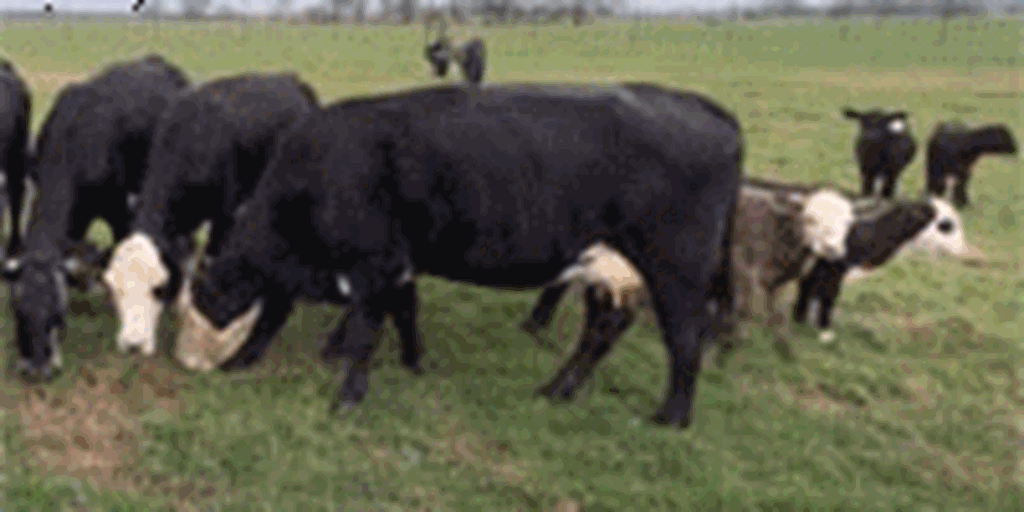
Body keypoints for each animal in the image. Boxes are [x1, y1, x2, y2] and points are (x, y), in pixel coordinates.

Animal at [171, 82, 743, 429]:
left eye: (198, 309)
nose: (191, 364)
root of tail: (697, 103)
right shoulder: (394, 266)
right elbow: (403, 313)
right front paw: (414, 361)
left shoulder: (373, 265)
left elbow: (358, 334)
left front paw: (345, 398)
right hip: (606, 266)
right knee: (602, 329)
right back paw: (558, 390)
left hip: (677, 270)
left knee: (685, 340)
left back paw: (671, 416)